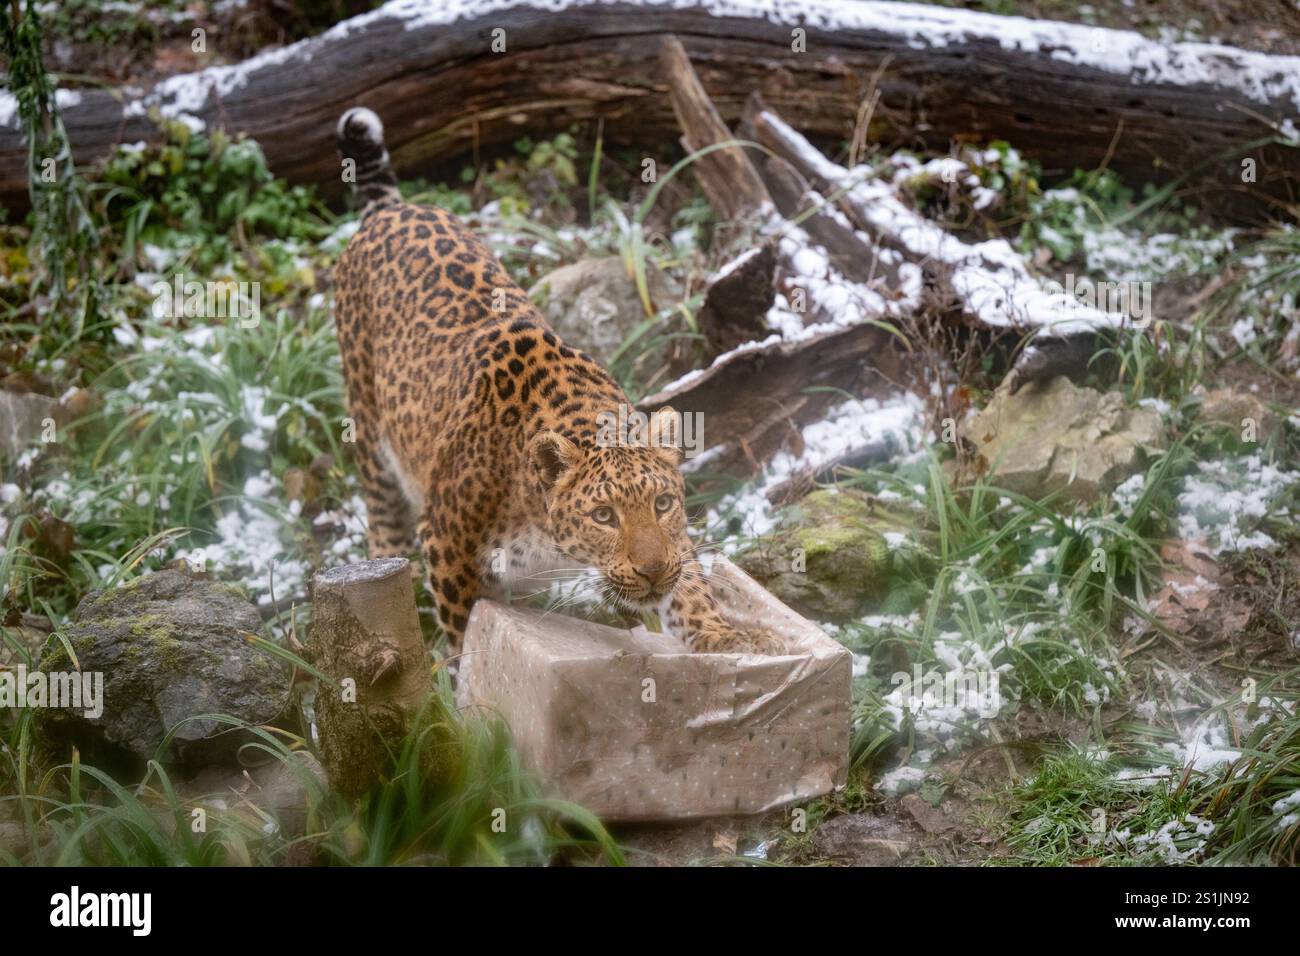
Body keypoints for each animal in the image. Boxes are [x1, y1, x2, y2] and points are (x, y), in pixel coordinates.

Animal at [331, 107, 783, 656]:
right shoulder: (446, 544)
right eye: (604, 516)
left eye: (662, 504)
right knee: (382, 514)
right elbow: (466, 637)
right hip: (369, 428)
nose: (651, 572)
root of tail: (393, 211)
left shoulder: (671, 542)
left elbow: (690, 587)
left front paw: (727, 638)